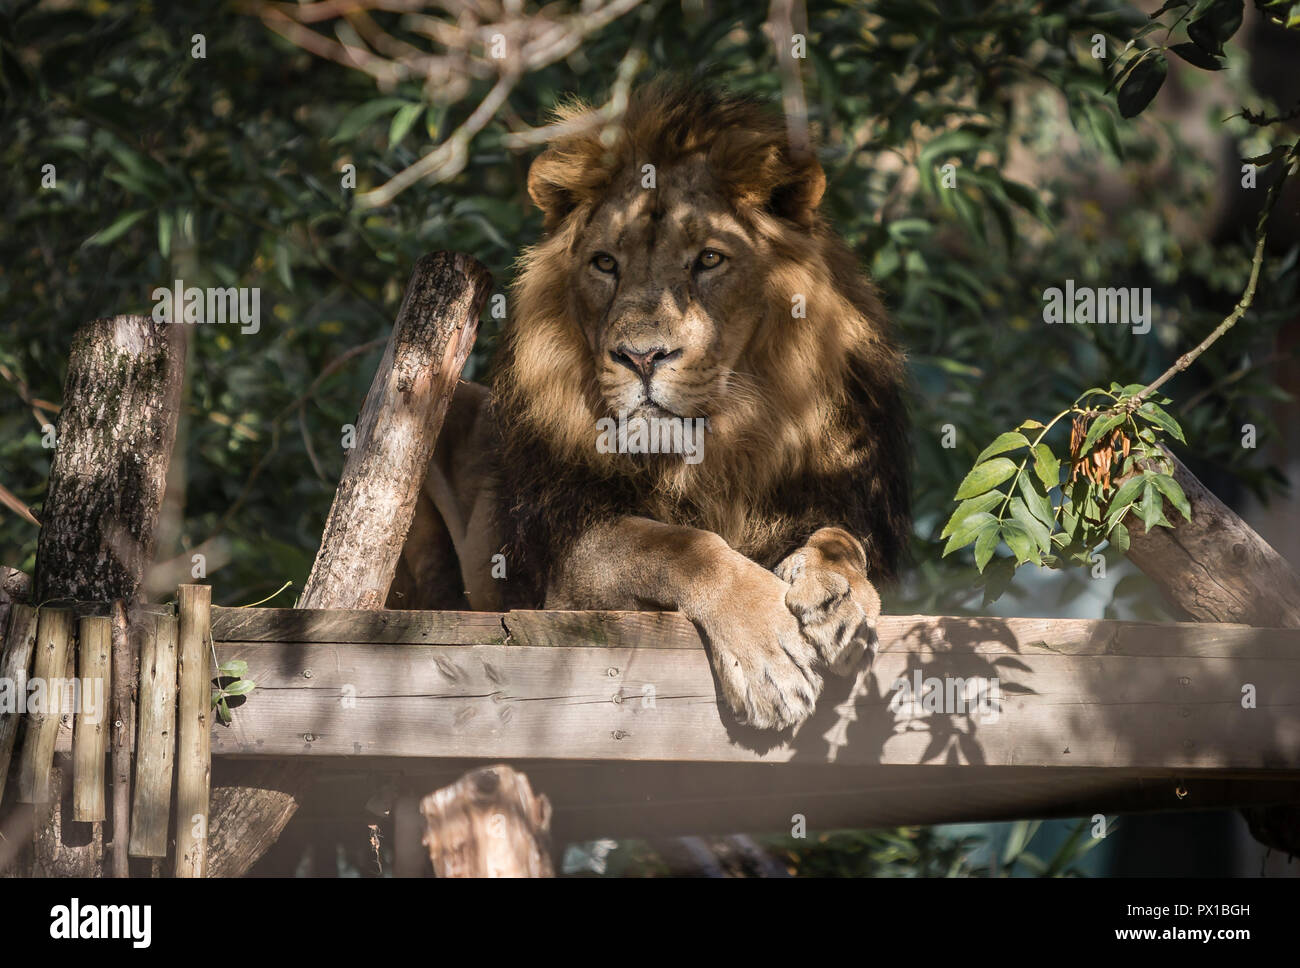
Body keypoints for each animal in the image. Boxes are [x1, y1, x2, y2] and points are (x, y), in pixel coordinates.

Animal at [389, 79, 911, 731]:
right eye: (605, 263)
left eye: (709, 259)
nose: (641, 357)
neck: (722, 447)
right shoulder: (566, 572)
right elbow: (679, 545)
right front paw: (771, 655)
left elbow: (840, 538)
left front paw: (838, 594)